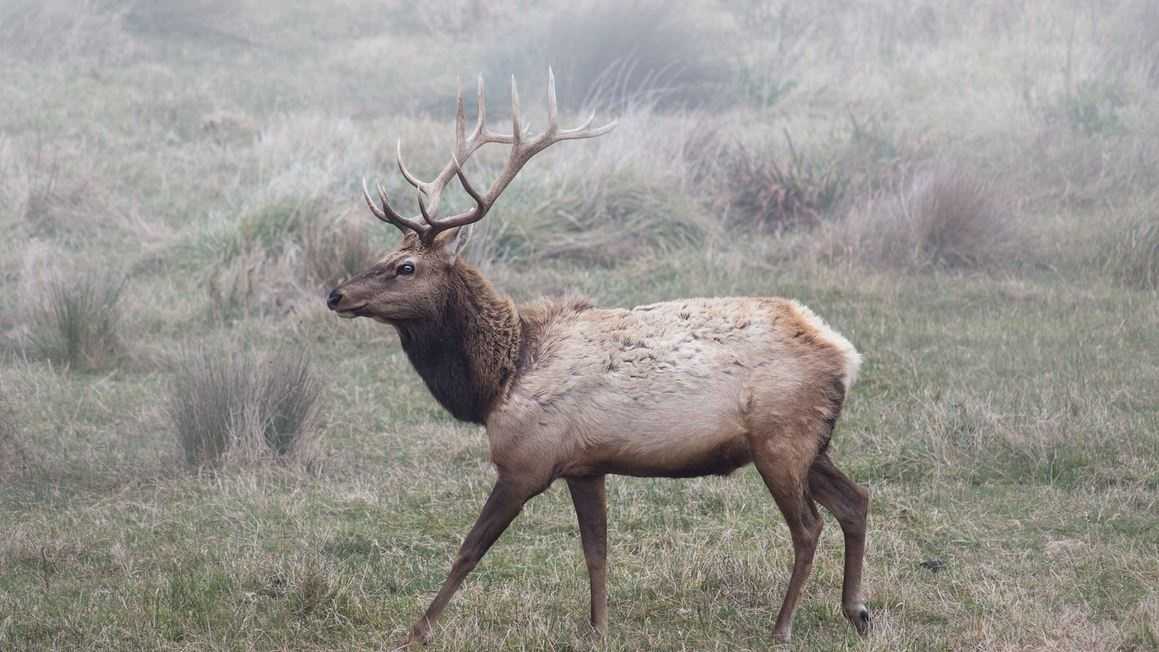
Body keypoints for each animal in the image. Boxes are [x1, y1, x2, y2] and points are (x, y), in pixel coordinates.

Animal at [326, 70, 871, 647]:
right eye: (384, 255)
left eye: (405, 267)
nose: (335, 294)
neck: (499, 378)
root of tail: (843, 353)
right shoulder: (584, 466)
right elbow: (597, 552)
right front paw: (598, 627)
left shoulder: (527, 461)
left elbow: (468, 550)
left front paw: (416, 631)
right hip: (809, 442)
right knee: (856, 500)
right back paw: (856, 610)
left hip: (781, 439)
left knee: (809, 526)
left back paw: (783, 626)